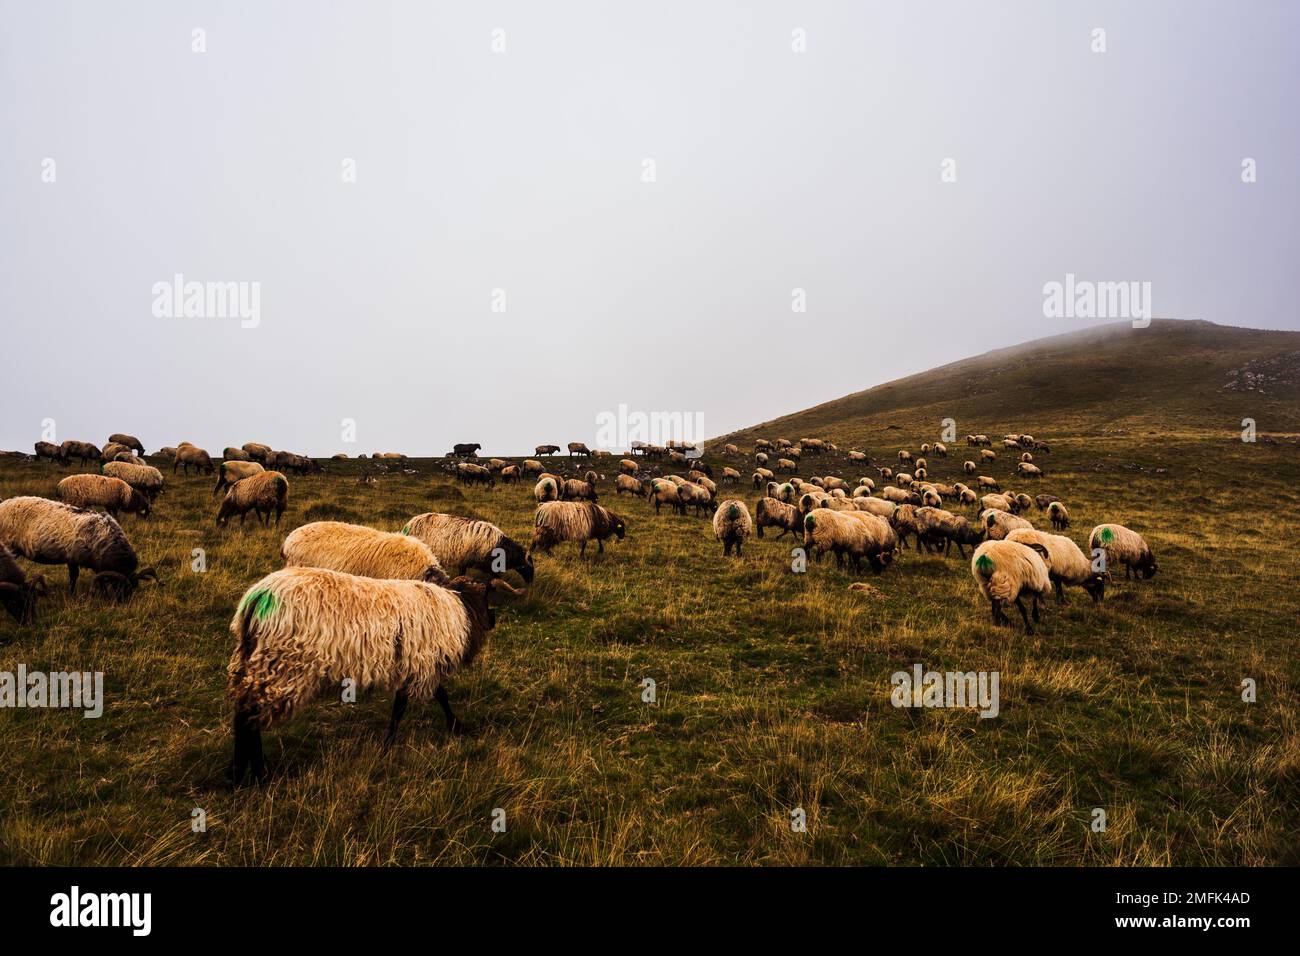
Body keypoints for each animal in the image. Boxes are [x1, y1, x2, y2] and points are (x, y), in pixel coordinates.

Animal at [0, 496, 157, 598]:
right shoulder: (74, 558)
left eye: (134, 586)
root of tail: (3, 504)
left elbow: (99, 579)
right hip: (9, 546)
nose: (125, 602)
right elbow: (75, 577)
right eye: (120, 585)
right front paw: (72, 594)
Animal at [226, 567, 521, 782]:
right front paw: (449, 727)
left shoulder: (411, 665)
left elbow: (414, 702)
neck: (459, 609)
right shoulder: (421, 663)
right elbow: (425, 701)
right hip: (282, 666)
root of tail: (256, 598)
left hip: (253, 661)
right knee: (249, 719)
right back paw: (258, 775)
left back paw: (239, 774)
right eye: (486, 596)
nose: (493, 621)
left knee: (242, 714)